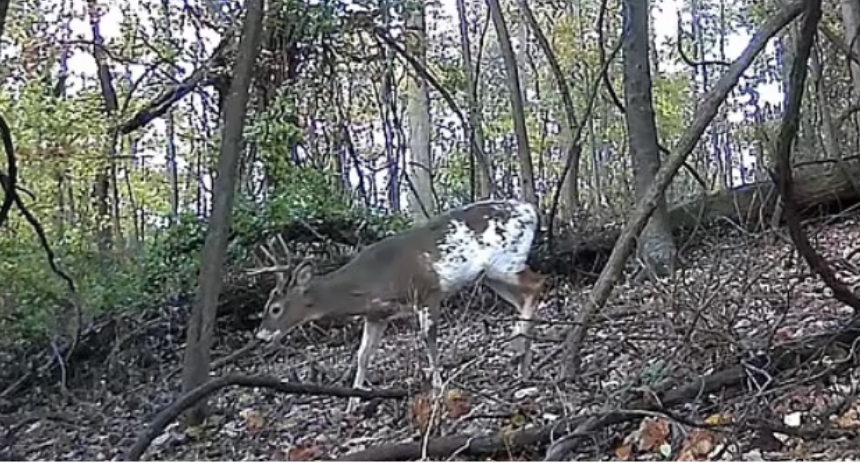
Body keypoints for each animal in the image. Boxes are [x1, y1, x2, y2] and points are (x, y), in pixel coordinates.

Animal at [254, 198, 547, 412]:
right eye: (266, 304)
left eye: (275, 308)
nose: (261, 335)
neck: (370, 281)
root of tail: (531, 210)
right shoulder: (377, 314)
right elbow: (362, 355)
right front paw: (352, 402)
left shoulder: (427, 292)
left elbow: (429, 340)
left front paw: (438, 388)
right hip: (491, 275)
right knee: (524, 297)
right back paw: (522, 362)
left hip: (505, 261)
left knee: (537, 284)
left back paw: (517, 346)